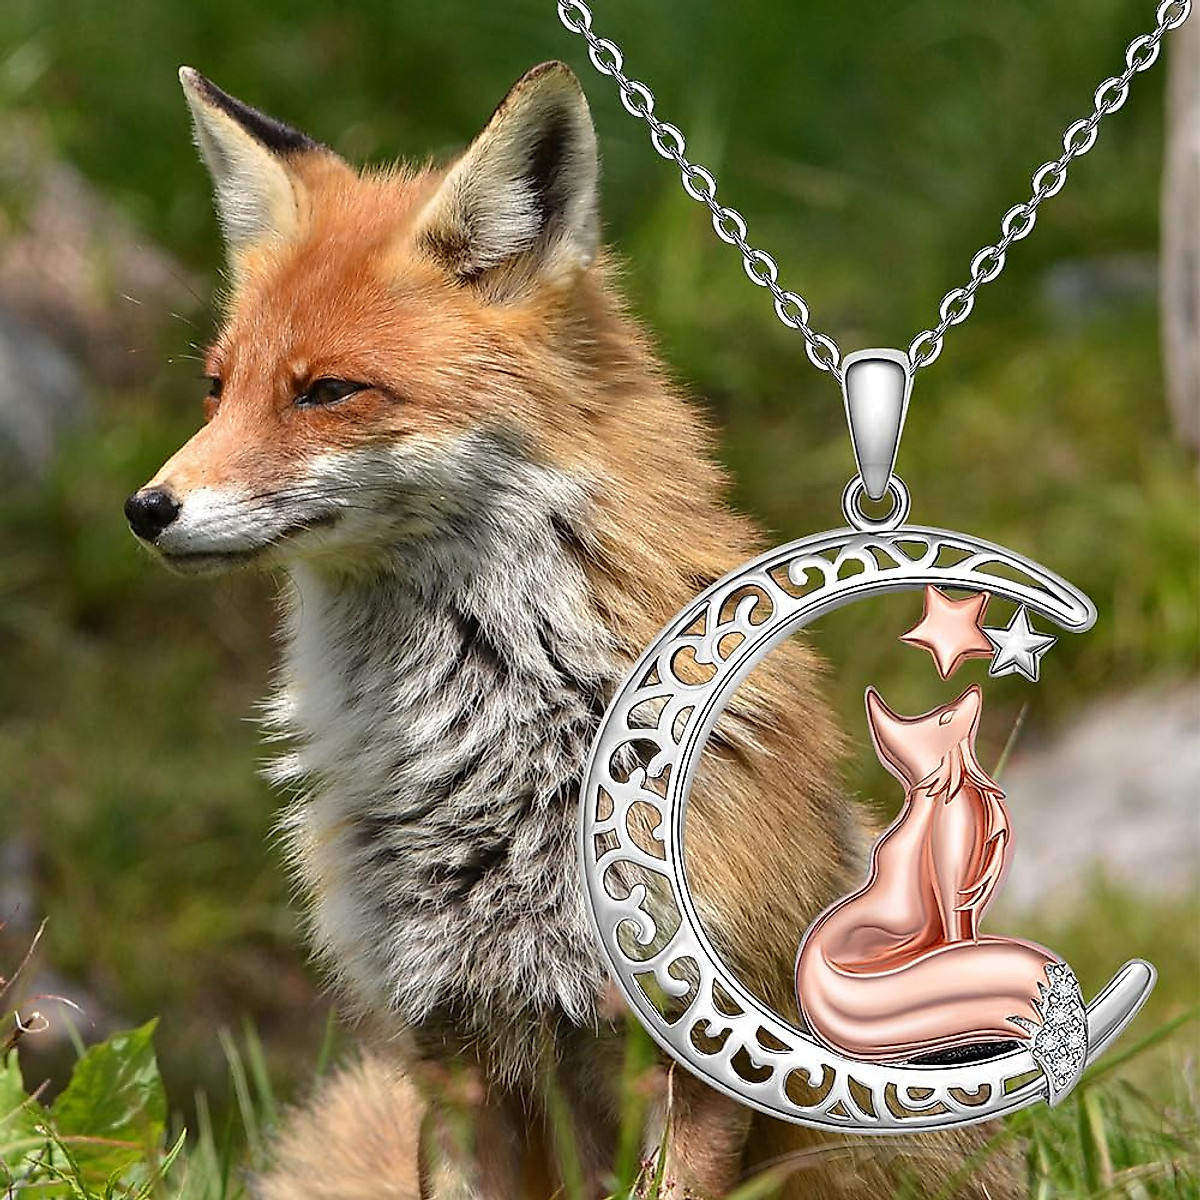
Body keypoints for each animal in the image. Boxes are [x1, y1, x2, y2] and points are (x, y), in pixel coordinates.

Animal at [125, 61, 1024, 1199]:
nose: (146, 508)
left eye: (327, 391)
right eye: (217, 387)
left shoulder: (698, 1058)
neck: (489, 759)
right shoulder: (452, 1048)